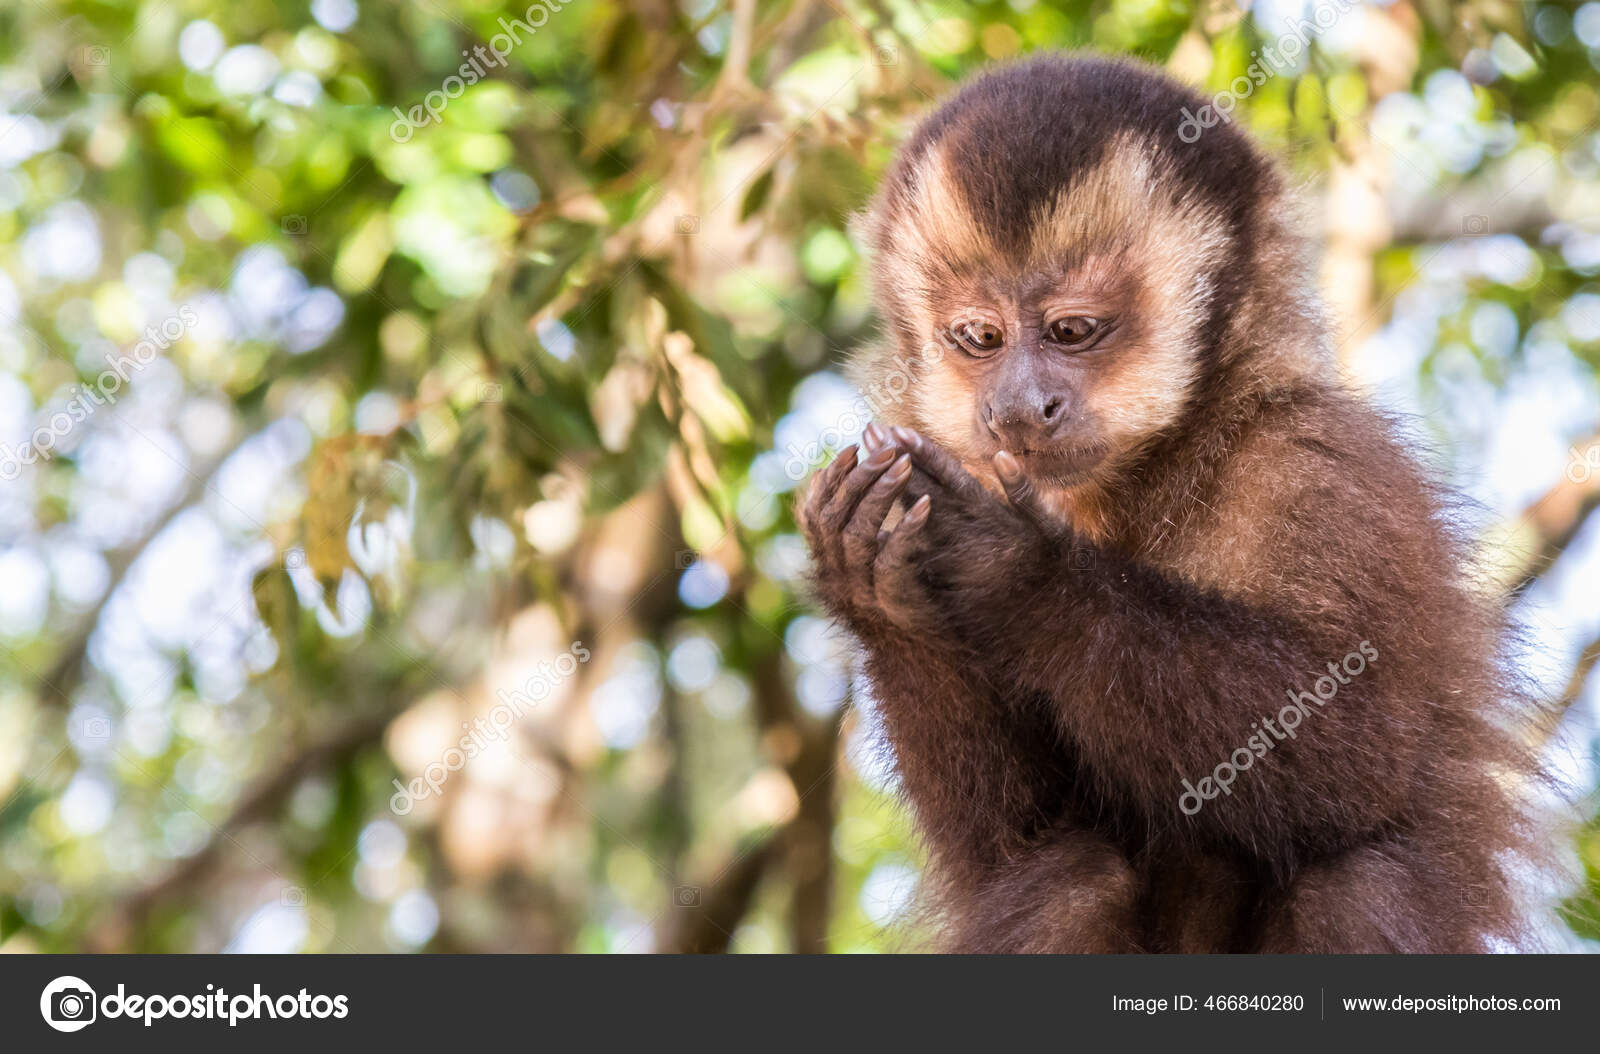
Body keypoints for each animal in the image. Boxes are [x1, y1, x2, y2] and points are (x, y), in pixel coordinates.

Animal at [796, 55, 1541, 953]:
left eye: (1072, 331)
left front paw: (1020, 570)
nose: (1019, 408)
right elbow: (1009, 844)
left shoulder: (1324, 468)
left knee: (1358, 882)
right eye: (980, 340)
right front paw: (882, 591)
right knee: (1069, 878)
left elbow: (1363, 752)